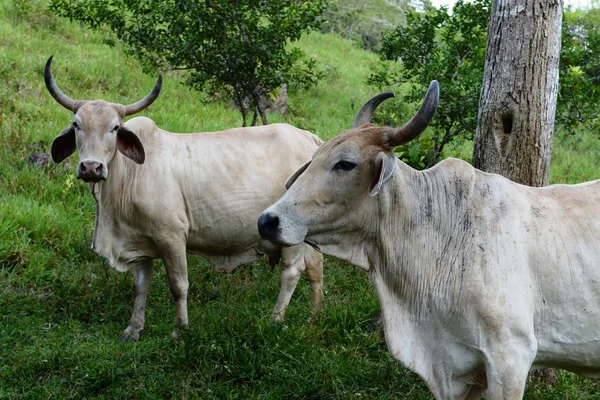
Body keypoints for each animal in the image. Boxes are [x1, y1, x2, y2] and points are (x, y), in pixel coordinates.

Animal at [45, 56, 324, 342]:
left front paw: (179, 329)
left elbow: (179, 286)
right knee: (315, 268)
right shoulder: (140, 241)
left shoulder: (171, 236)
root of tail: (310, 139)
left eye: (114, 128)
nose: (91, 167)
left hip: (288, 236)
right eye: (77, 125)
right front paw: (133, 329)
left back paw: (276, 319)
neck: (128, 175)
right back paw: (314, 318)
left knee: (291, 272)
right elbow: (140, 287)